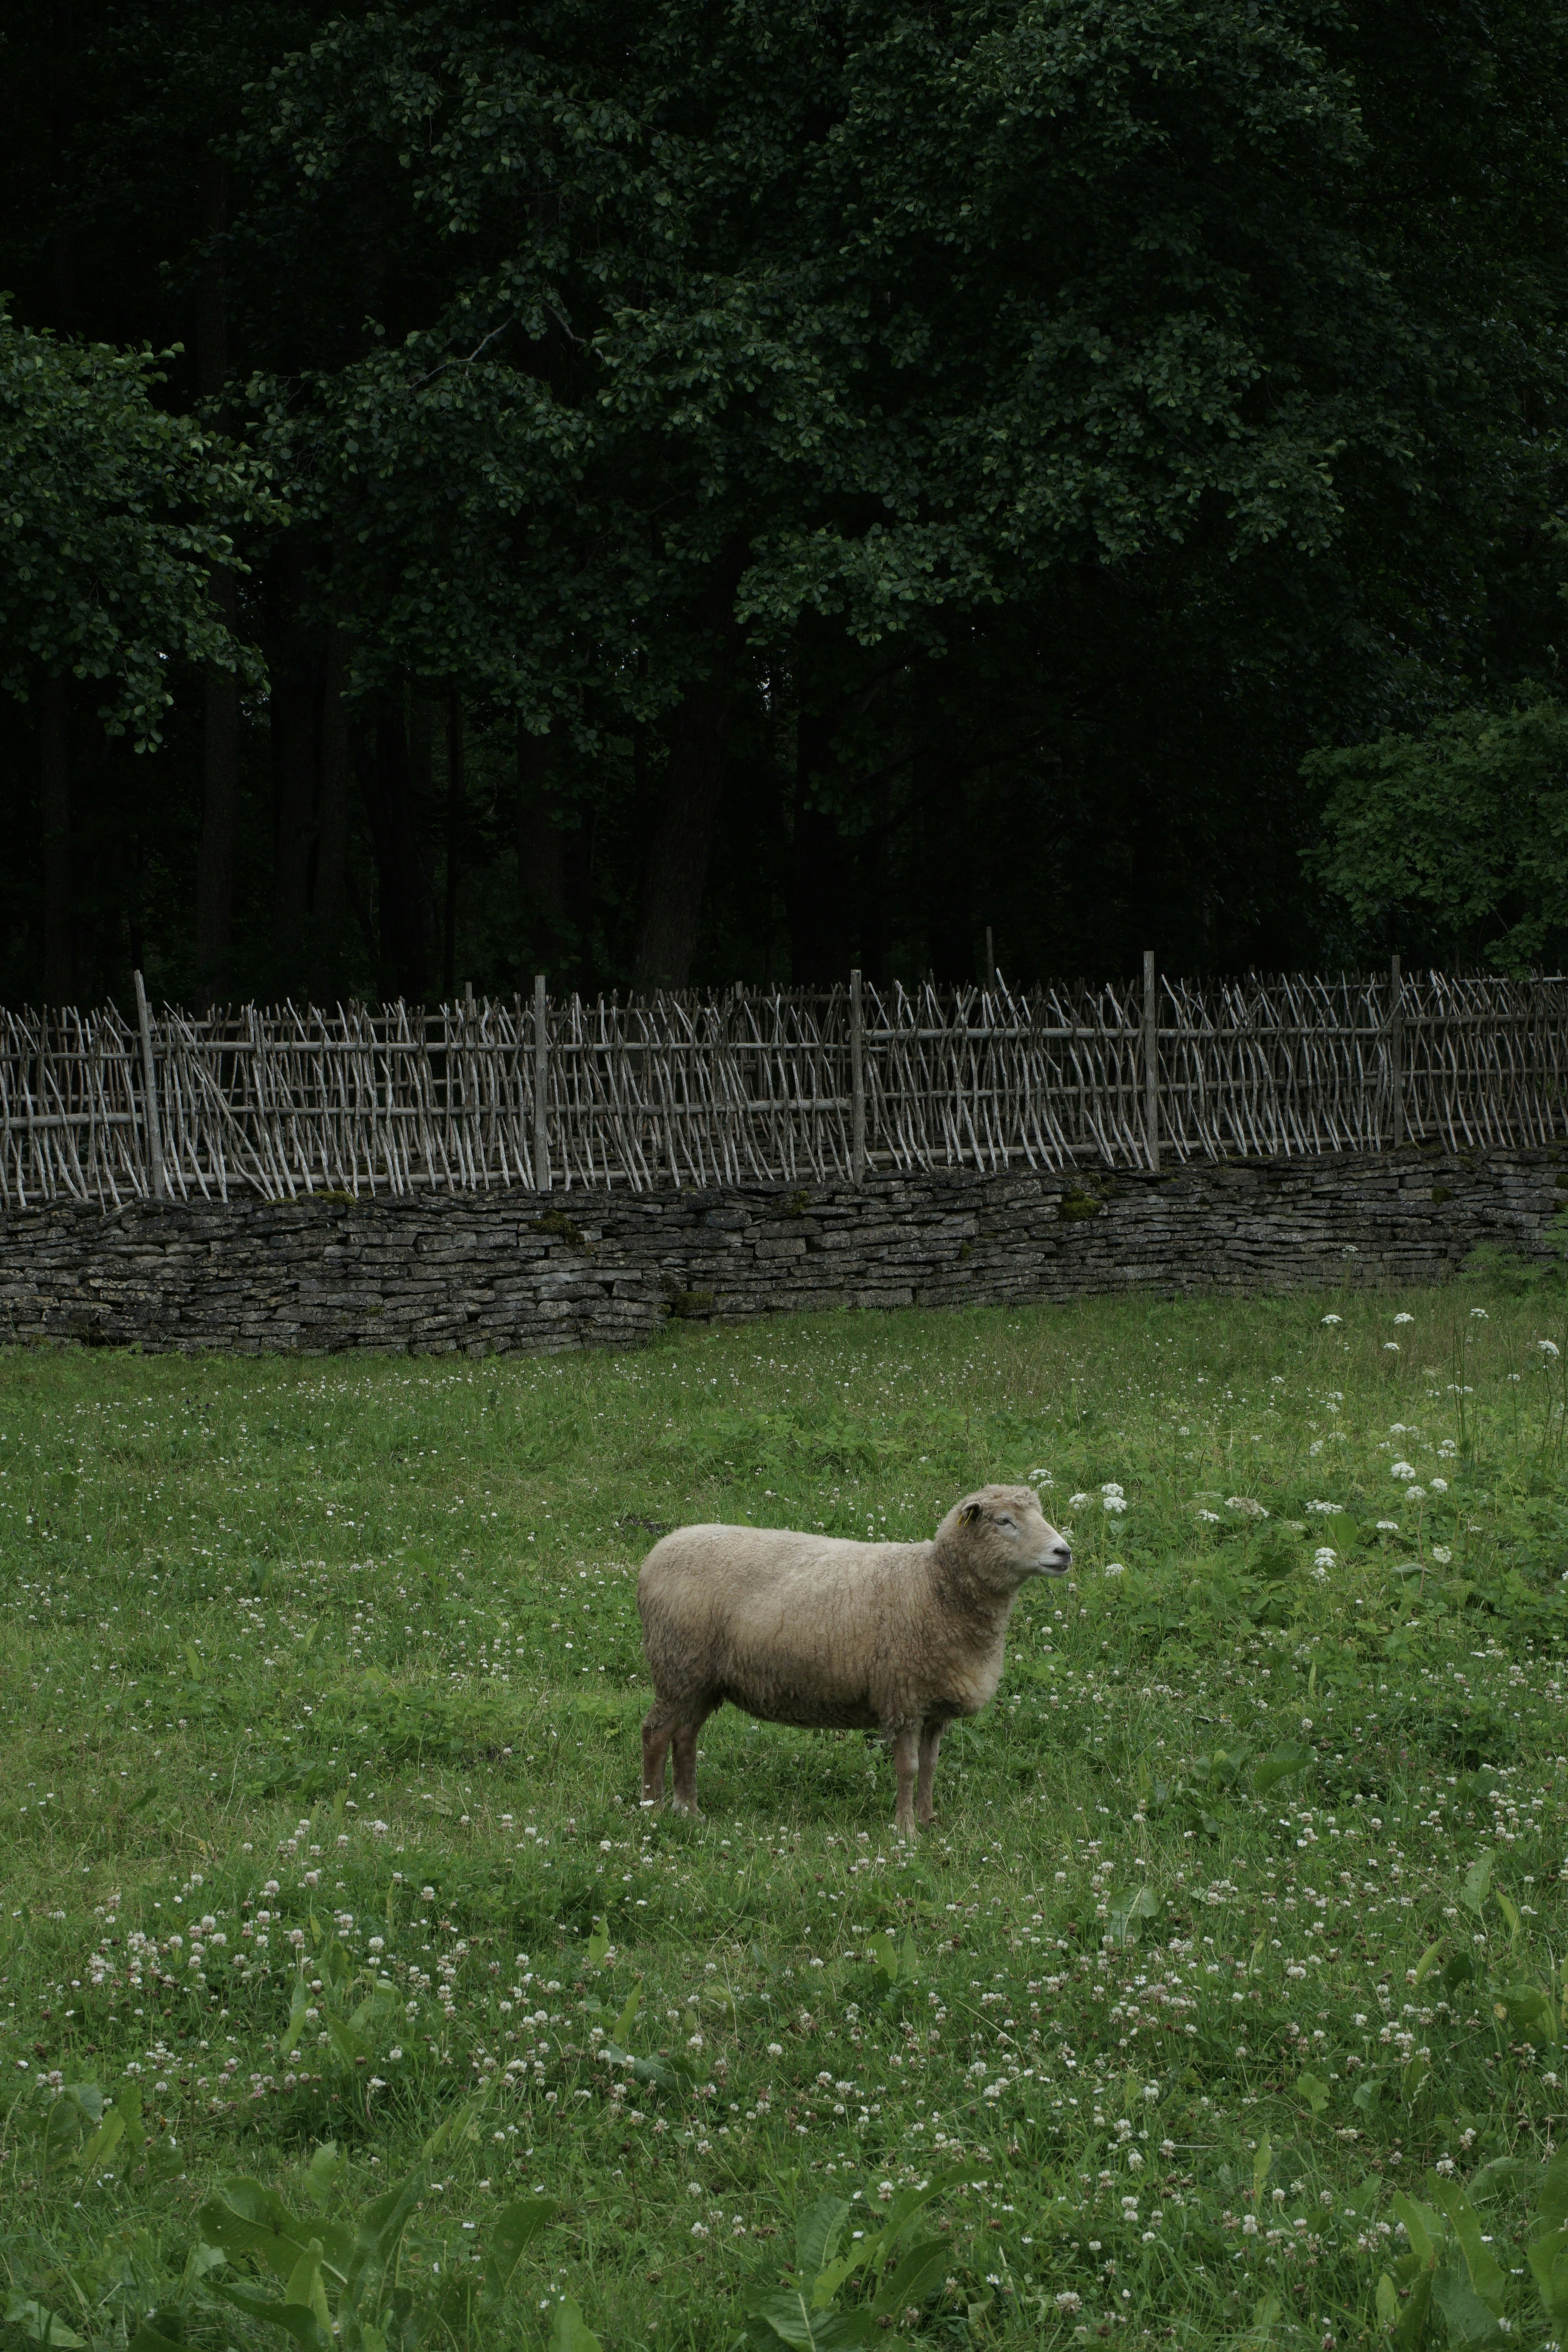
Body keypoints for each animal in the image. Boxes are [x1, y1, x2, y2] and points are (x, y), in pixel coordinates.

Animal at [637, 1482, 1070, 1838]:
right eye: (1003, 1521)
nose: (1064, 1552)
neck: (934, 1587)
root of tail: (659, 1551)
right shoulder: (902, 1699)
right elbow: (909, 1768)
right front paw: (906, 1831)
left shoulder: (934, 1707)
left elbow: (931, 1766)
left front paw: (929, 1821)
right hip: (677, 1665)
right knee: (655, 1733)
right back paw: (653, 1810)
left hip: (701, 1679)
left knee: (685, 1737)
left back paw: (688, 1811)